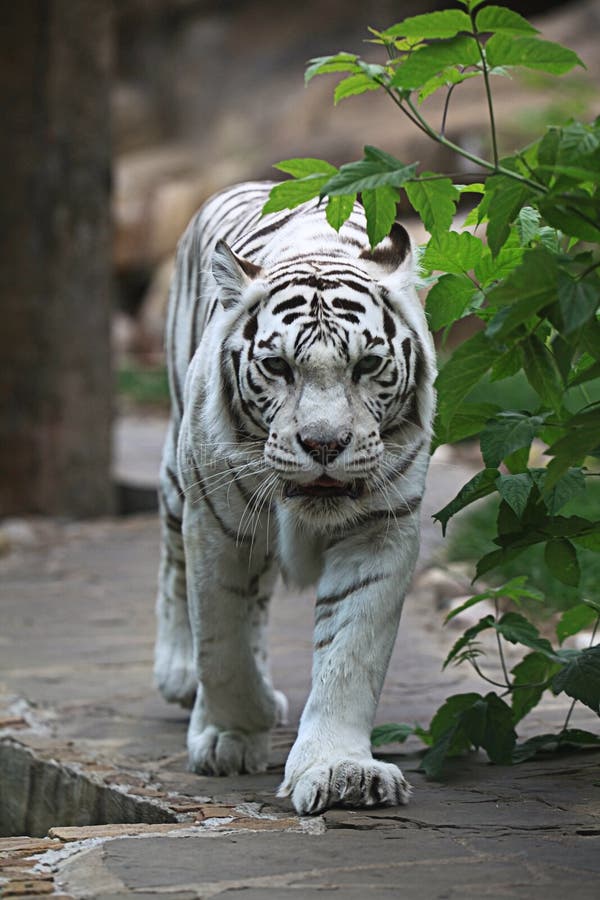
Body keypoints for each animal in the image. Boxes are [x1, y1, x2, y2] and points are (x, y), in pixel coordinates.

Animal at [153, 181, 436, 815]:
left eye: (368, 364)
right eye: (278, 365)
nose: (325, 443)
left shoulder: (381, 527)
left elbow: (350, 654)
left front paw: (342, 770)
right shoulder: (215, 526)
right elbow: (222, 643)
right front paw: (232, 734)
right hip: (178, 477)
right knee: (175, 568)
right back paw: (180, 675)